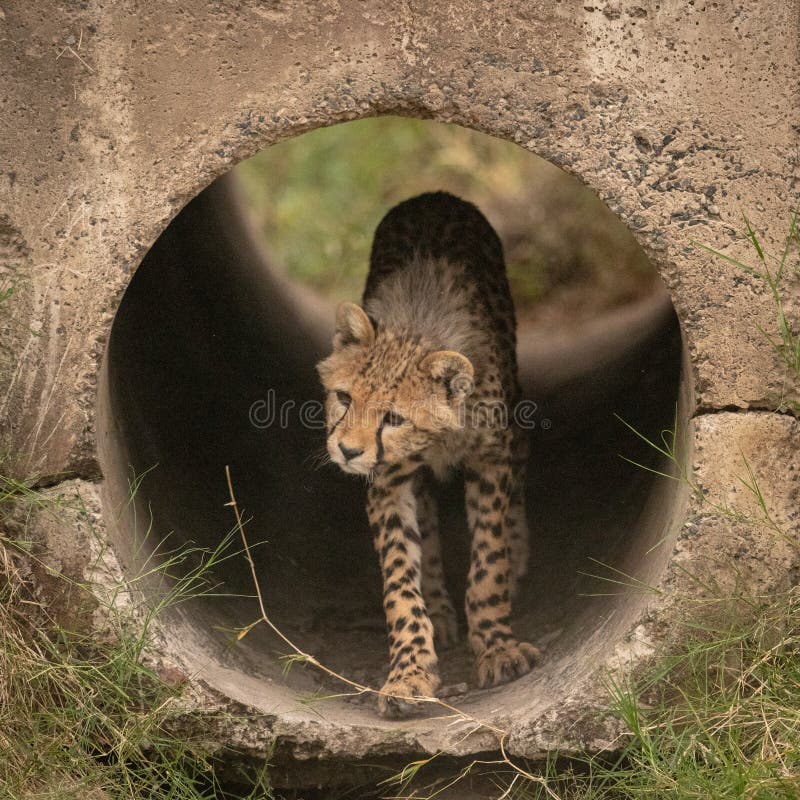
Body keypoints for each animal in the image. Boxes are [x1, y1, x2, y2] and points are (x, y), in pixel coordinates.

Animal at [316, 191, 539, 718]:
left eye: (394, 418)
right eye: (344, 398)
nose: (348, 451)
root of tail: (433, 195)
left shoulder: (490, 461)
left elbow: (488, 563)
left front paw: (497, 646)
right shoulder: (390, 480)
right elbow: (400, 579)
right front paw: (409, 673)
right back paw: (438, 608)